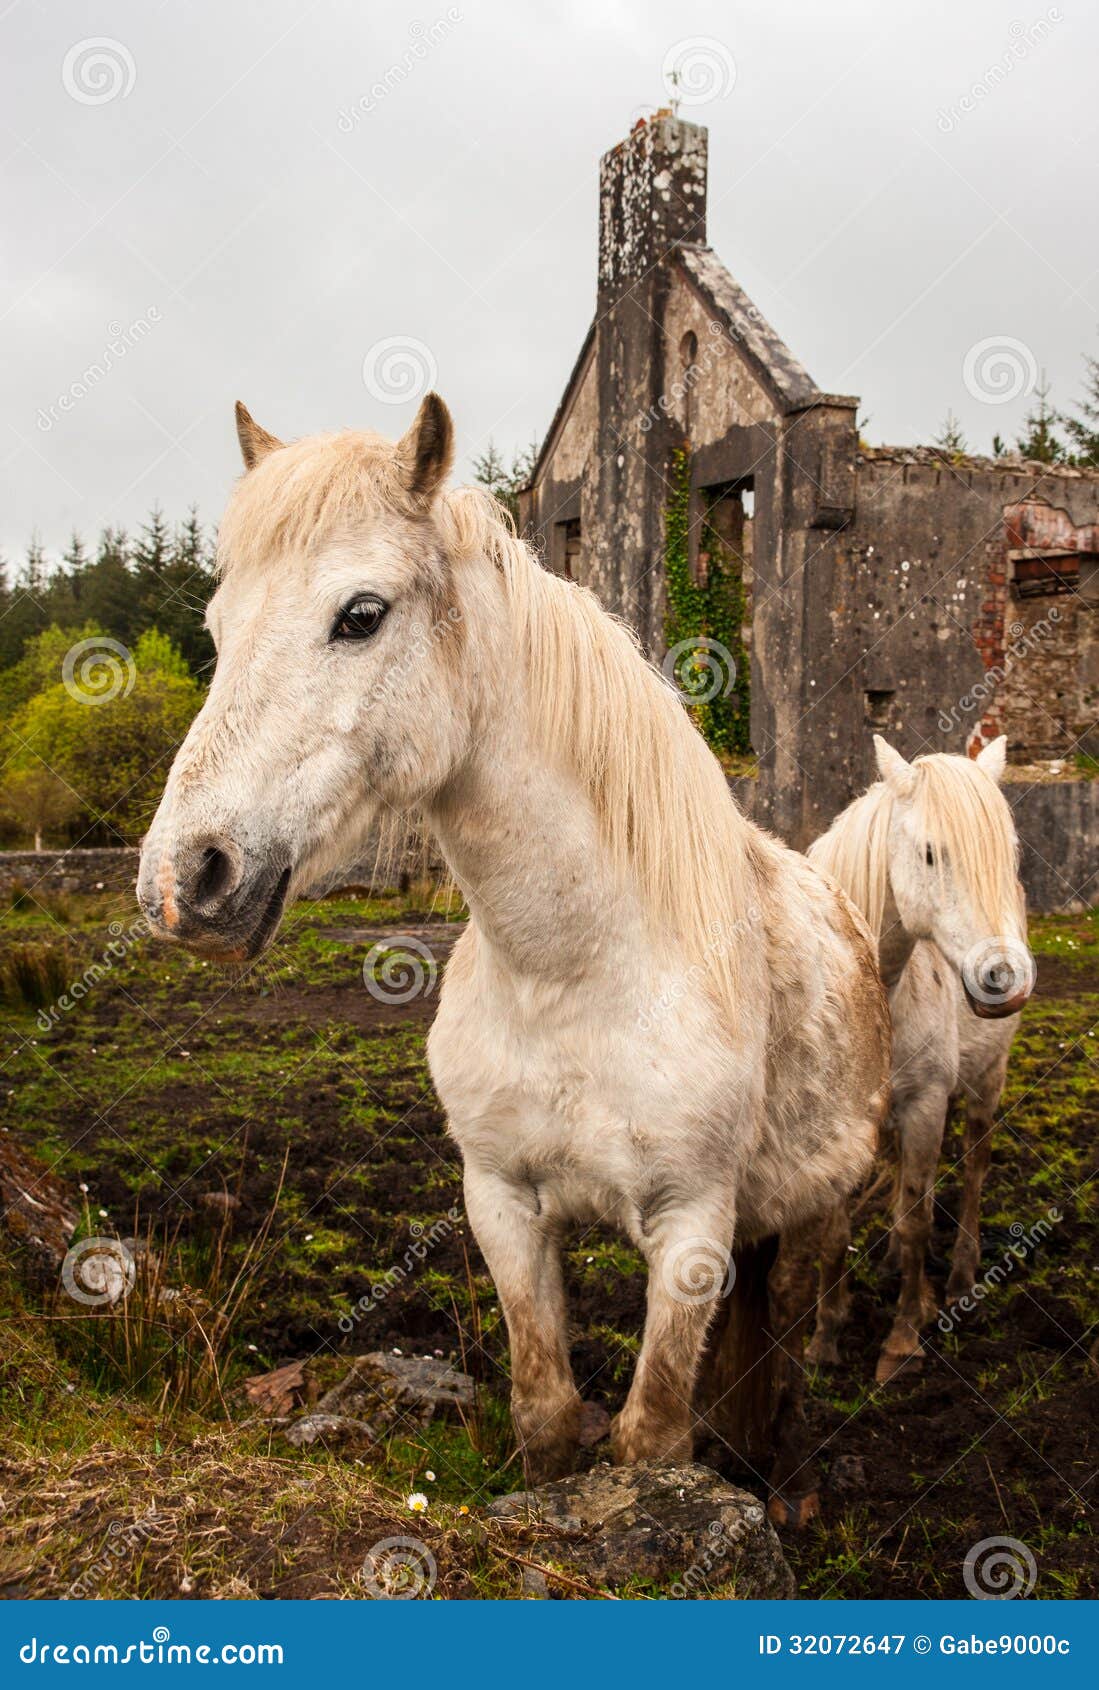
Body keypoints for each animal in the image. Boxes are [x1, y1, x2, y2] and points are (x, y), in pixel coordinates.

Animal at [137, 393, 891, 1518]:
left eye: (360, 615)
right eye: (218, 632)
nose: (184, 881)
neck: (575, 976)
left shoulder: (692, 1227)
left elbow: (650, 1435)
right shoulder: (502, 1205)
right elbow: (545, 1414)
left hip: (816, 1210)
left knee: (793, 1342)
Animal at [806, 735, 1034, 1383]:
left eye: (1009, 853)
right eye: (931, 853)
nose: (1003, 979)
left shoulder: (928, 1103)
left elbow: (916, 1221)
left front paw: (903, 1339)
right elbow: (835, 1228)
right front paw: (826, 1335)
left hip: (984, 1084)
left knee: (973, 1168)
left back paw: (956, 1277)